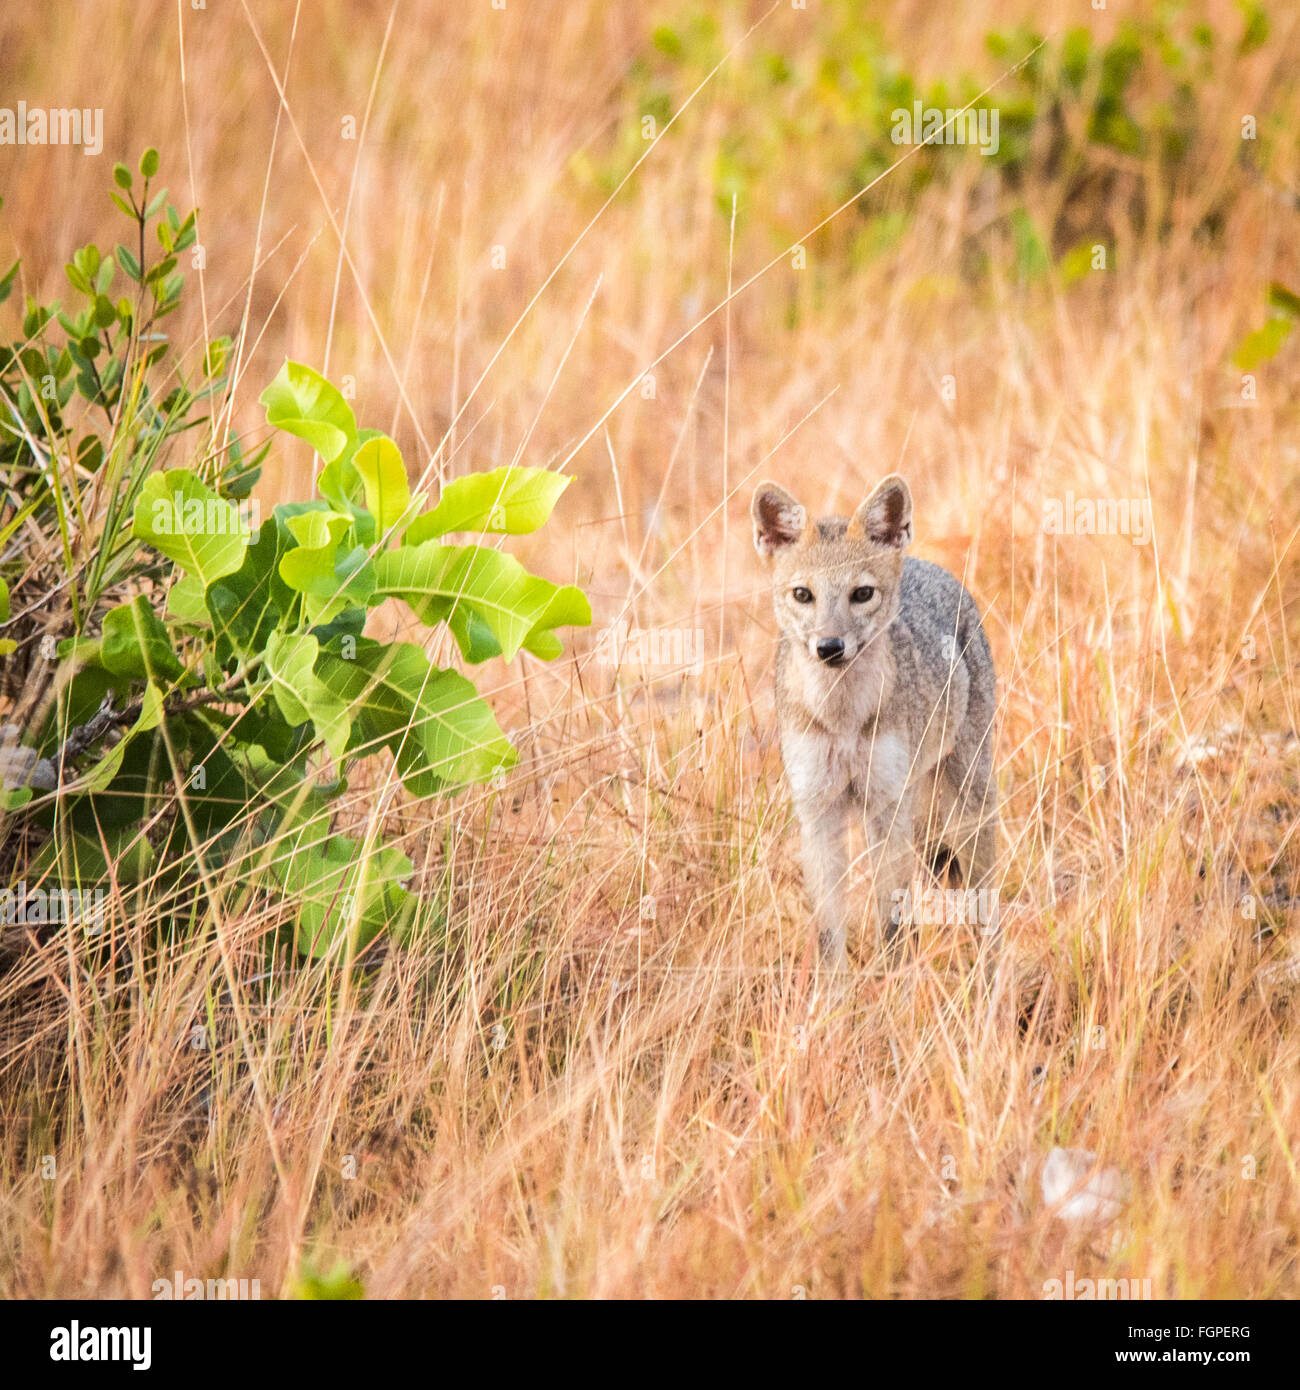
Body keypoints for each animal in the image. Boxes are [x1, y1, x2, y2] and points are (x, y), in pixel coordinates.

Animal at [751, 474, 999, 968]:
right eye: (803, 595)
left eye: (861, 594)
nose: (830, 647)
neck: (843, 718)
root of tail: (934, 569)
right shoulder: (820, 812)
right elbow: (830, 932)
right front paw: (833, 991)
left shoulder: (884, 807)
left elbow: (894, 922)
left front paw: (893, 981)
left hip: (967, 801)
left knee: (983, 899)